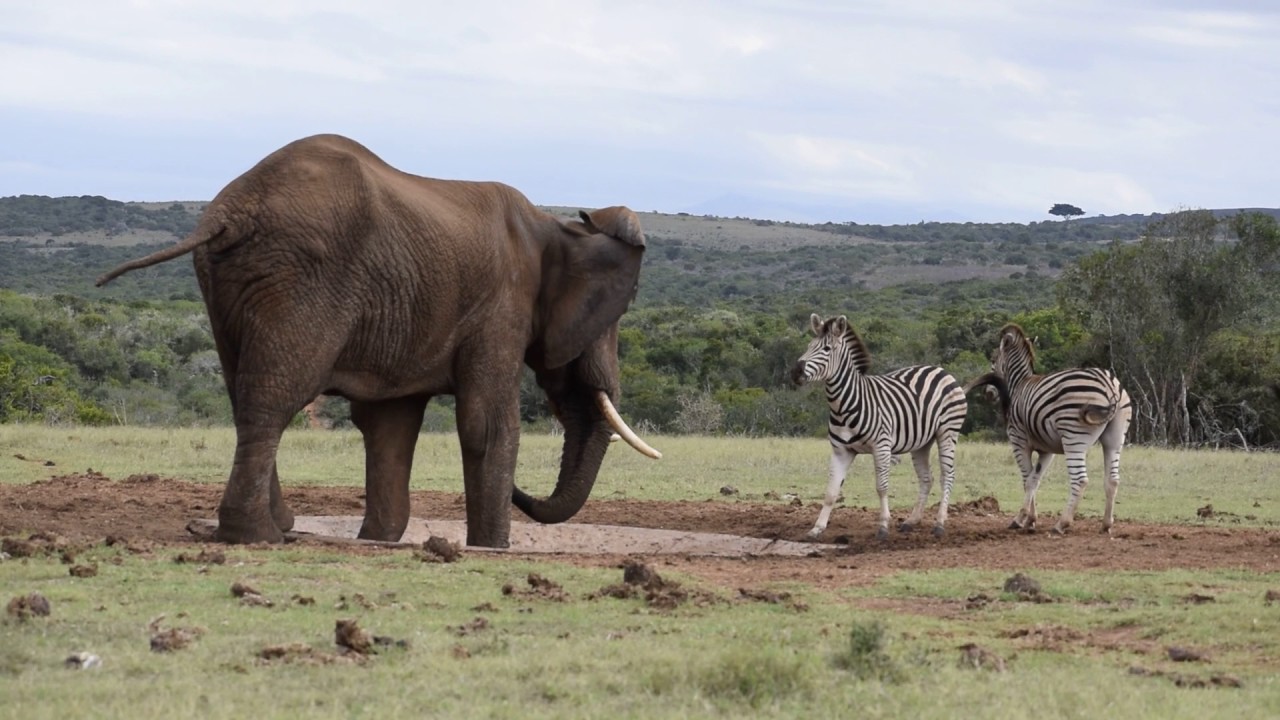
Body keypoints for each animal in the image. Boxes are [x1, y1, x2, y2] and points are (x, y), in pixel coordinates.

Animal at [96, 133, 660, 548]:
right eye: (615, 313)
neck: (557, 229)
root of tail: (228, 213)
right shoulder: (500, 309)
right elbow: (485, 424)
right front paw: (491, 548)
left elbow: (391, 426)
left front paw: (380, 539)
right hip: (300, 277)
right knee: (272, 400)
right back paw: (256, 537)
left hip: (226, 284)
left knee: (244, 395)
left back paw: (279, 528)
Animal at [791, 314, 968, 540]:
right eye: (809, 346)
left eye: (827, 349)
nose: (795, 372)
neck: (842, 405)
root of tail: (940, 370)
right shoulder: (841, 451)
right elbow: (831, 491)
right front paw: (817, 528)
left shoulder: (881, 446)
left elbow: (881, 487)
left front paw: (883, 527)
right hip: (922, 442)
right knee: (927, 478)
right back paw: (912, 521)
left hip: (947, 432)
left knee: (947, 475)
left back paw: (939, 524)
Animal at [966, 323, 1132, 535]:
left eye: (993, 360)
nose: (988, 394)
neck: (1018, 384)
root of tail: (1110, 385)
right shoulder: (1047, 450)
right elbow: (1035, 480)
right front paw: (1031, 520)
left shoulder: (1018, 441)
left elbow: (1026, 479)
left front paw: (1021, 519)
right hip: (1115, 437)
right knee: (1112, 480)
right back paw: (1106, 525)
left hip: (1073, 438)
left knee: (1080, 480)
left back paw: (1061, 524)